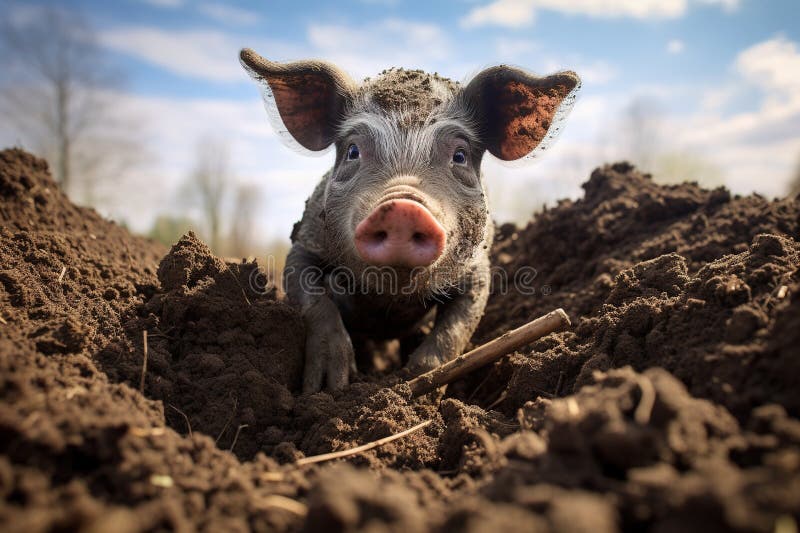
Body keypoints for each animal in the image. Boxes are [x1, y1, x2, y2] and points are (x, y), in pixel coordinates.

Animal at [240, 48, 580, 392]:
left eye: (460, 155)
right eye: (353, 151)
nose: (403, 208)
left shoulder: (478, 272)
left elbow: (453, 333)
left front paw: (417, 384)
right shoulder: (305, 243)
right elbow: (314, 301)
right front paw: (327, 388)